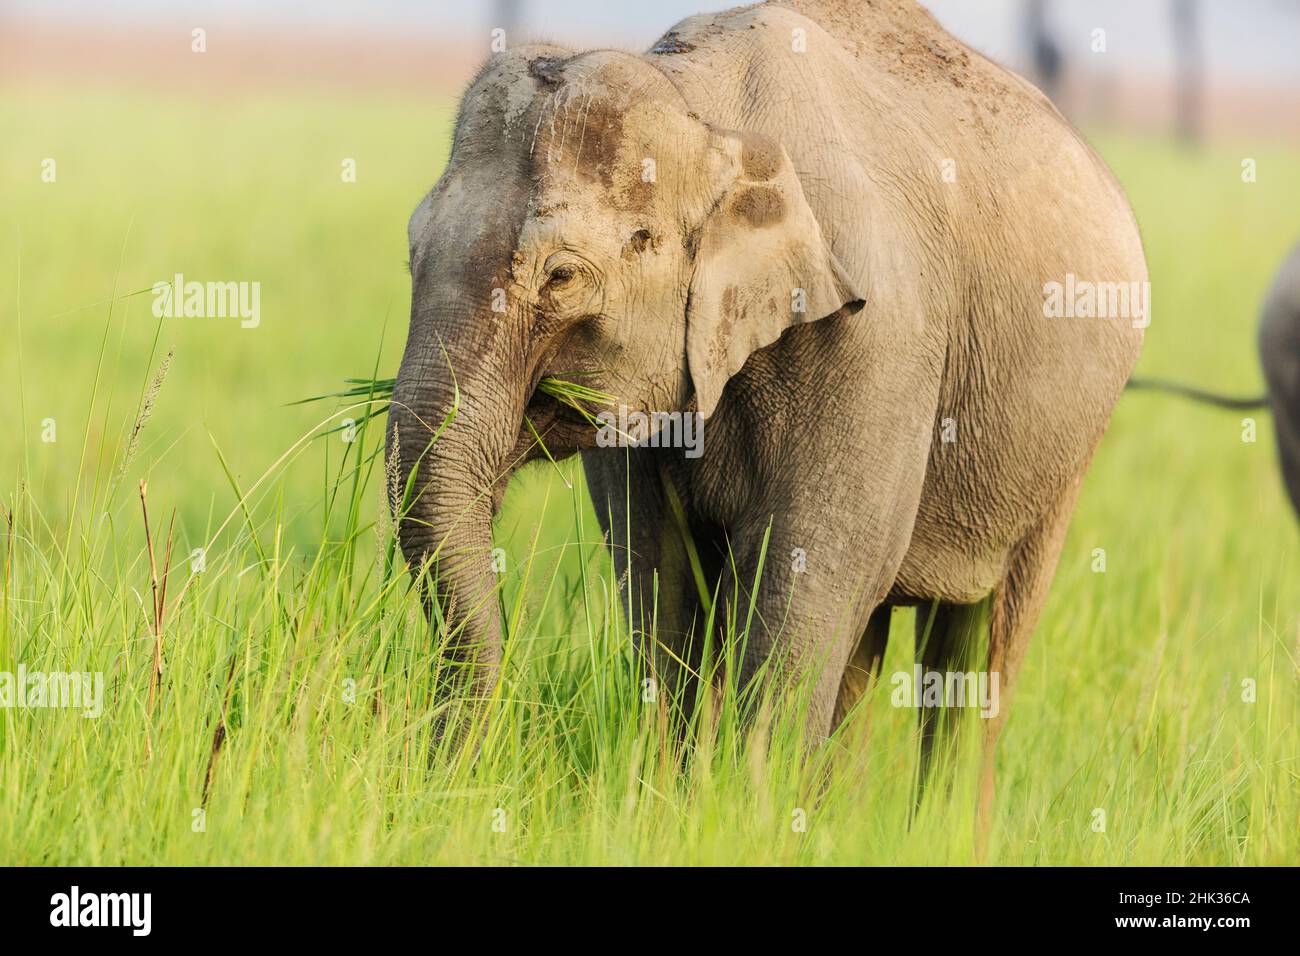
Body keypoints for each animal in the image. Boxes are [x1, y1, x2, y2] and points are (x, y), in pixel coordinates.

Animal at [388, 0, 1146, 833]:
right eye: (410, 254)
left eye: (560, 276)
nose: (449, 779)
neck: (705, 111)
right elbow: (659, 571)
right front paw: (675, 810)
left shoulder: (876, 338)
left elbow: (806, 574)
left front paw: (750, 817)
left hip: (1066, 454)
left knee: (983, 641)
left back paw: (944, 833)